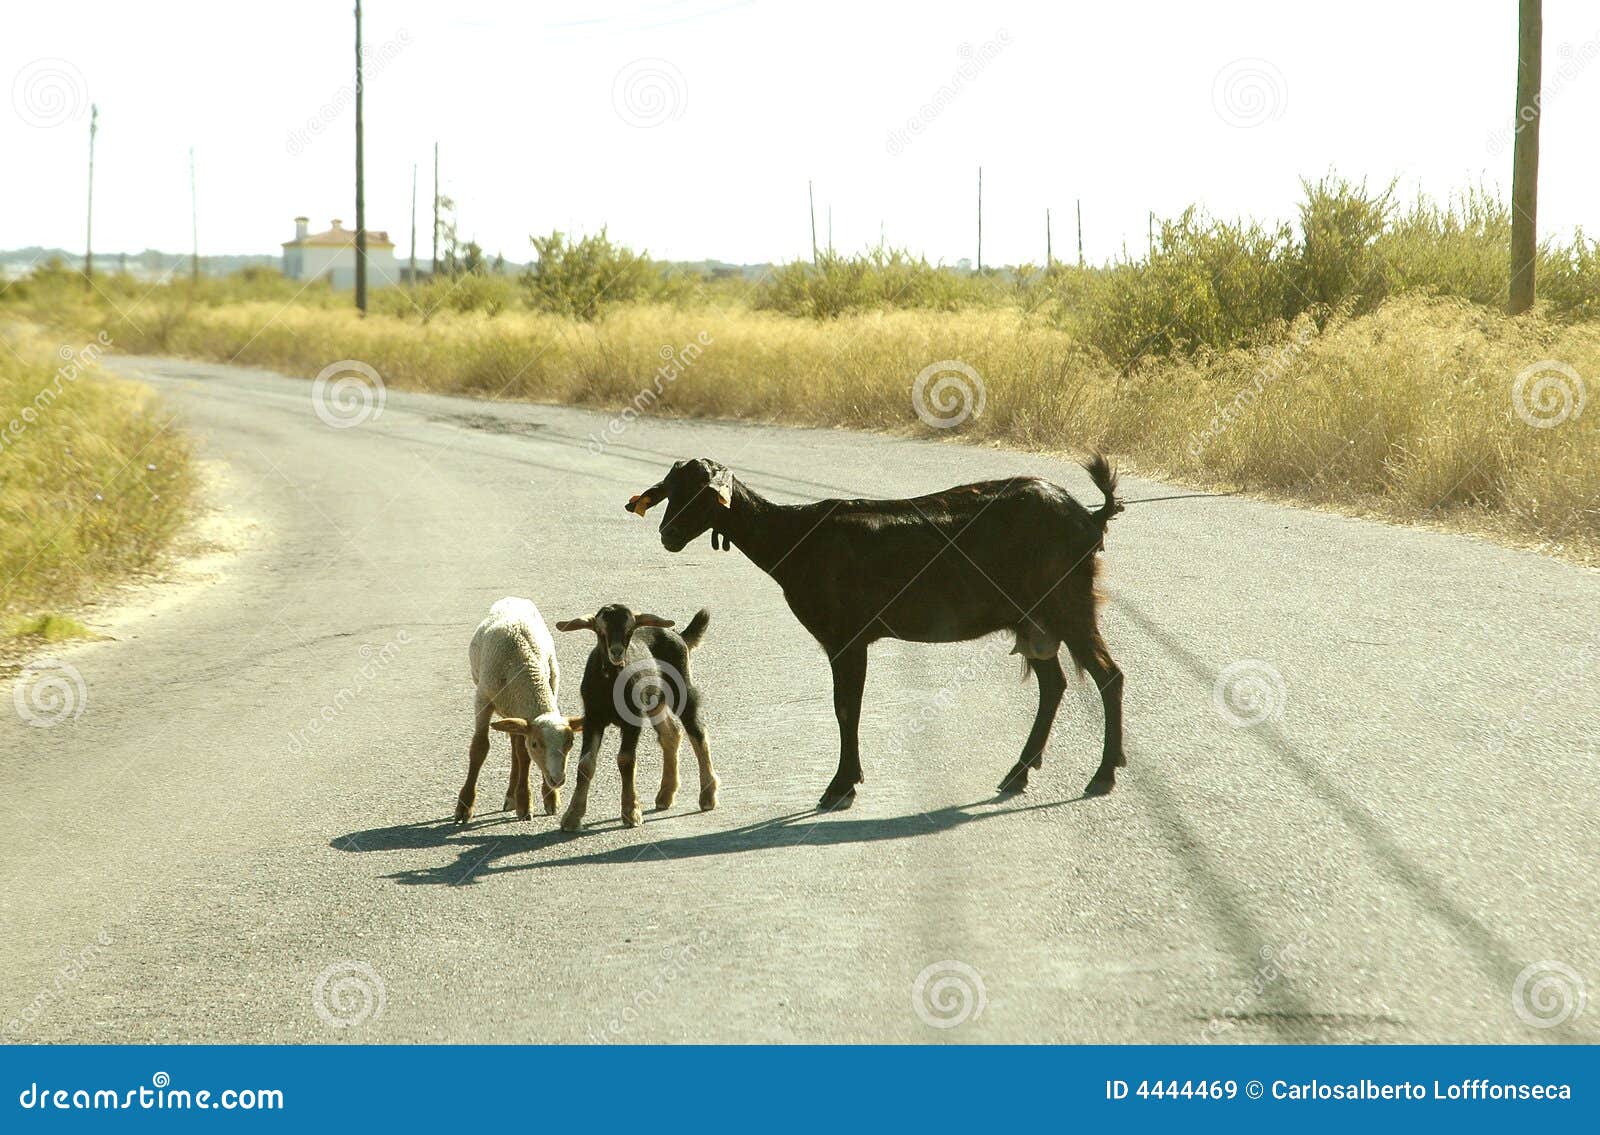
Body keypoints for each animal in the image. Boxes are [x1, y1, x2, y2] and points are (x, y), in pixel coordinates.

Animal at [458, 597, 582, 823]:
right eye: (535, 744)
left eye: (570, 743)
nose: (557, 780)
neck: (522, 664)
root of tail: (514, 598)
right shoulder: (483, 699)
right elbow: (479, 748)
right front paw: (464, 806)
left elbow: (523, 755)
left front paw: (542, 799)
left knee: (516, 746)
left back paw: (513, 796)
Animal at [554, 605, 716, 832]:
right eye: (600, 630)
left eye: (629, 630)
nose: (616, 652)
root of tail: (678, 635)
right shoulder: (592, 718)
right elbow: (585, 763)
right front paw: (572, 816)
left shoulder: (633, 718)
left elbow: (626, 759)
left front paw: (631, 812)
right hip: (655, 701)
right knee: (671, 734)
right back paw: (665, 795)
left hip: (683, 690)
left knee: (697, 731)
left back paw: (707, 796)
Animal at [624, 456, 1125, 808]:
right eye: (670, 492)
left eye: (704, 494)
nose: (668, 536)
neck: (793, 539)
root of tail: (1091, 518)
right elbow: (847, 708)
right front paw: (847, 780)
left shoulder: (847, 635)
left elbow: (847, 708)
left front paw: (841, 786)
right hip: (1033, 616)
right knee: (1055, 683)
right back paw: (1019, 772)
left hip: (1067, 603)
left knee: (1108, 676)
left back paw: (1103, 774)